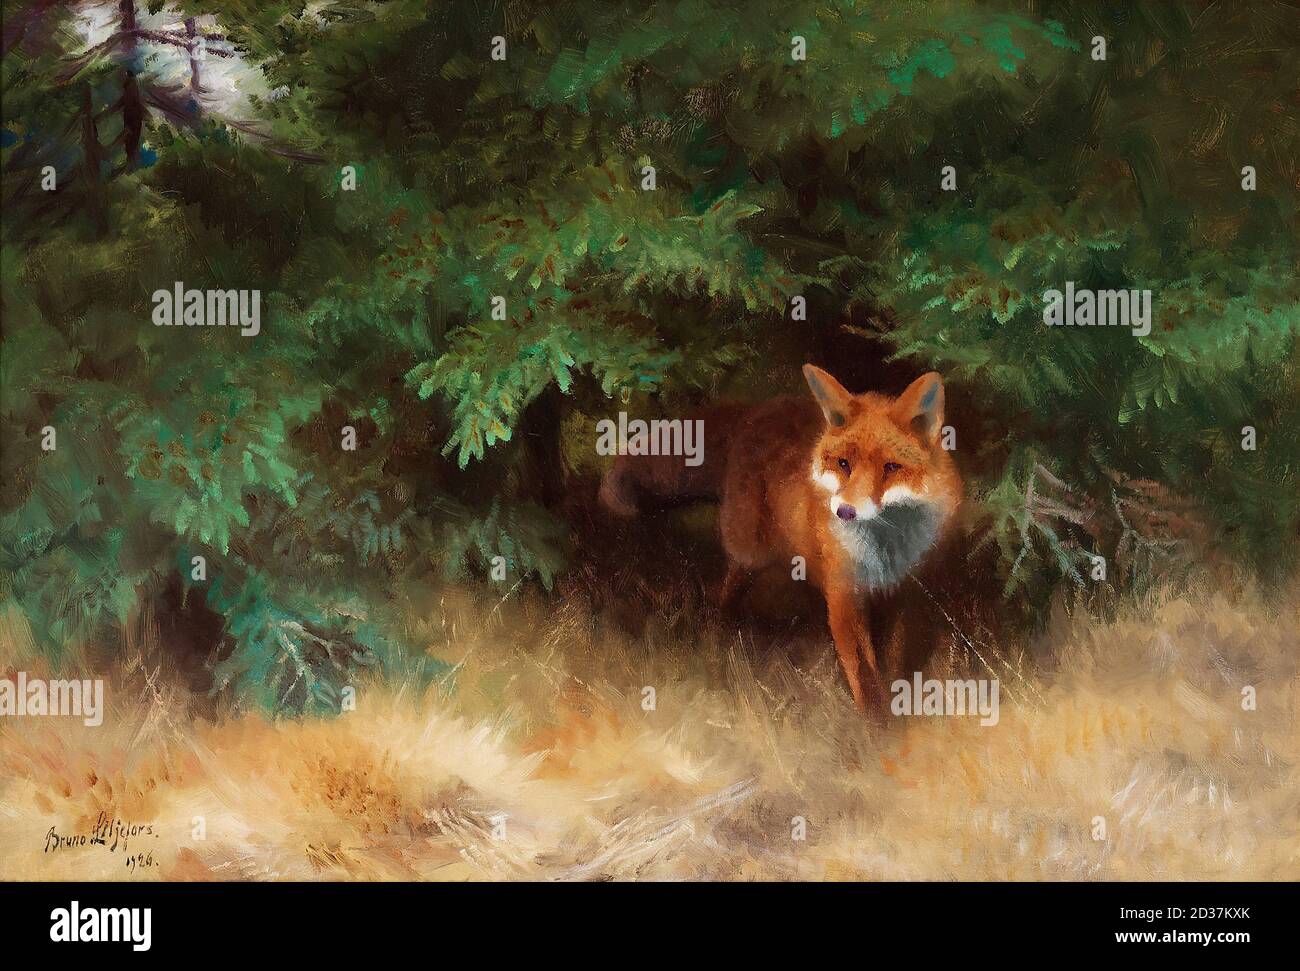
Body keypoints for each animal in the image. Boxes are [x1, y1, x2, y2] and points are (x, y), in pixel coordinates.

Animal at [600, 366, 962, 713]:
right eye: (843, 463)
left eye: (891, 468)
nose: (844, 511)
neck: (886, 550)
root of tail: (756, 411)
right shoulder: (844, 597)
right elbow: (864, 674)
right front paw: (876, 725)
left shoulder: (902, 594)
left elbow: (894, 662)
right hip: (749, 553)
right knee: (723, 595)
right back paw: (720, 640)